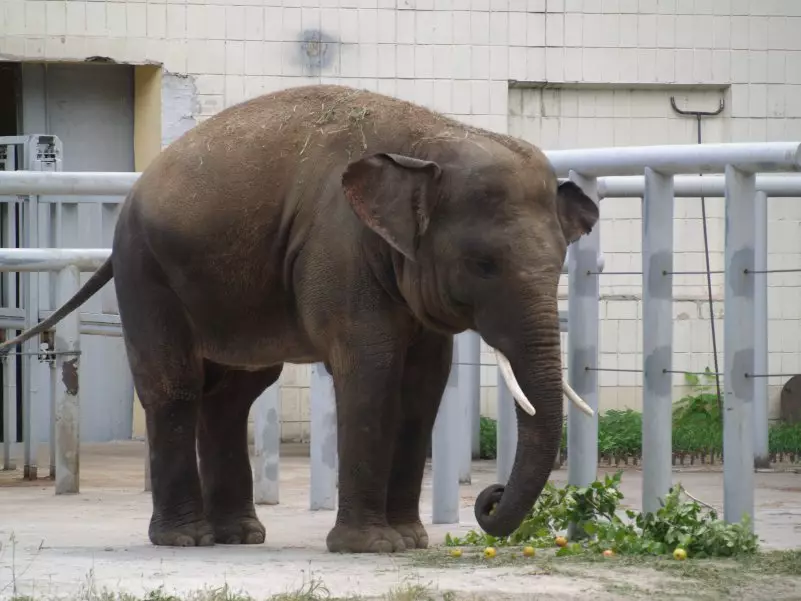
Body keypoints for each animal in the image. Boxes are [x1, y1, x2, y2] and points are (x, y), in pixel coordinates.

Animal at [0, 83, 596, 552]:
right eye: (482, 265)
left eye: (560, 262)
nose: (490, 500)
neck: (429, 142)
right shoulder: (339, 247)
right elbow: (371, 372)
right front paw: (371, 547)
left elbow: (425, 384)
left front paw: (409, 541)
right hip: (145, 269)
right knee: (176, 387)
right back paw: (186, 538)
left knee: (234, 394)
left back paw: (239, 536)